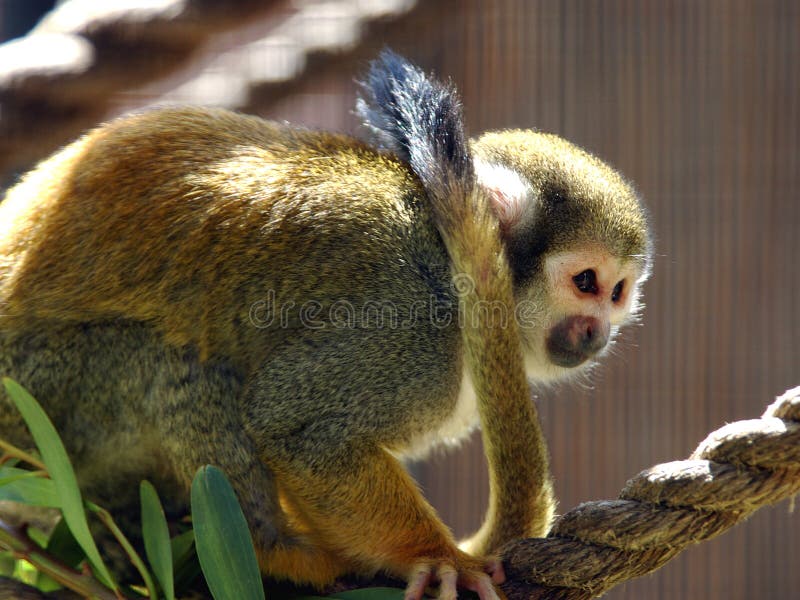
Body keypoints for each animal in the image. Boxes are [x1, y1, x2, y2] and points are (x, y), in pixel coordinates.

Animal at [0, 51, 651, 599]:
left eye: (619, 293)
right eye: (586, 282)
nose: (598, 334)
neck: (446, 256)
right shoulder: (407, 324)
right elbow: (301, 430)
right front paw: (438, 558)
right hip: (40, 409)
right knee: (170, 362)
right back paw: (278, 554)